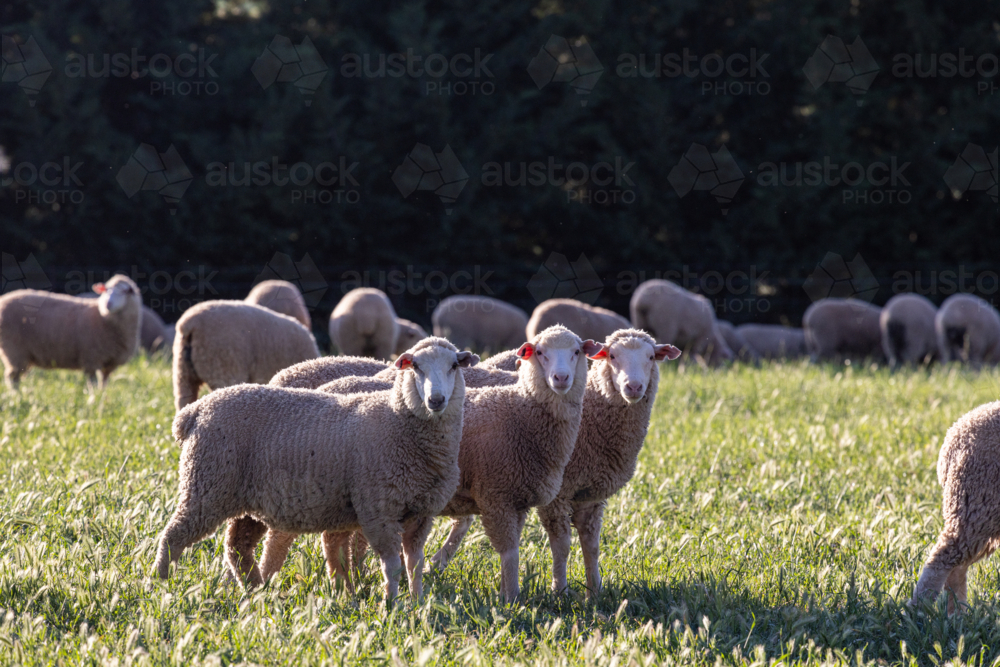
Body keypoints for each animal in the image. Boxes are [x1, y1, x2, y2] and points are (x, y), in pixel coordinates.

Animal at [0, 275, 142, 390]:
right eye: (106, 290)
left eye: (124, 291)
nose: (108, 304)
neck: (102, 318)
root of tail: (3, 300)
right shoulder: (91, 358)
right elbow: (93, 384)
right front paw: (94, 399)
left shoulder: (109, 364)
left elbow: (103, 383)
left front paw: (102, 398)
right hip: (14, 349)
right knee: (12, 377)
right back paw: (16, 396)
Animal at [156, 337, 478, 604]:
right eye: (416, 367)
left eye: (453, 366)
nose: (436, 400)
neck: (398, 421)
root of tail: (195, 411)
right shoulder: (379, 511)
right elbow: (392, 566)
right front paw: (391, 605)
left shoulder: (421, 513)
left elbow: (415, 564)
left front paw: (418, 603)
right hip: (206, 486)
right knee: (173, 536)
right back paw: (160, 585)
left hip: (244, 500)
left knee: (238, 547)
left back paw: (257, 591)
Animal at [257, 325, 602, 602]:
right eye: (540, 353)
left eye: (576, 352)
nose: (561, 378)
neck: (522, 411)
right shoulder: (496, 496)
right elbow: (509, 554)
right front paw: (513, 600)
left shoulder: (515, 500)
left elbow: (513, 551)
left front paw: (511, 593)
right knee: (280, 536)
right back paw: (266, 582)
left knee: (335, 538)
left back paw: (346, 587)